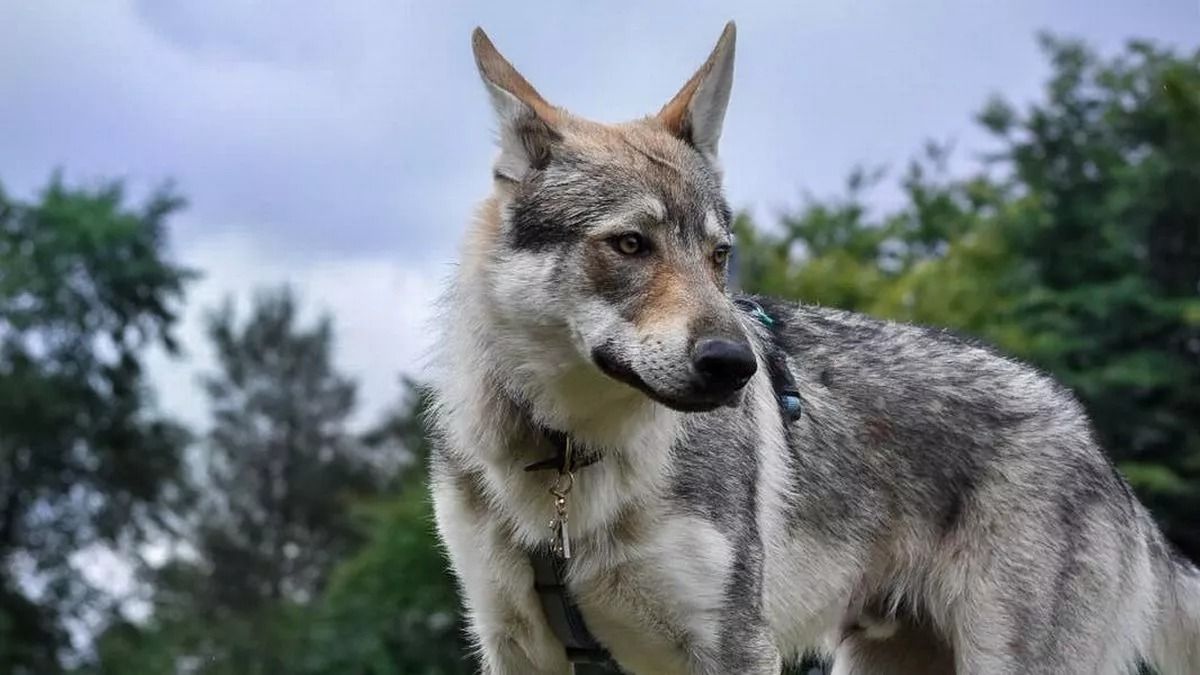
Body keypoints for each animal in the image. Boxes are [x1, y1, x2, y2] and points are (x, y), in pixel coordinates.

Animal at [427, 21, 1200, 675]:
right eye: (630, 245)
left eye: (718, 255)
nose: (736, 366)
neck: (566, 463)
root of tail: (1093, 442)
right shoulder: (516, 649)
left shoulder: (736, 645)